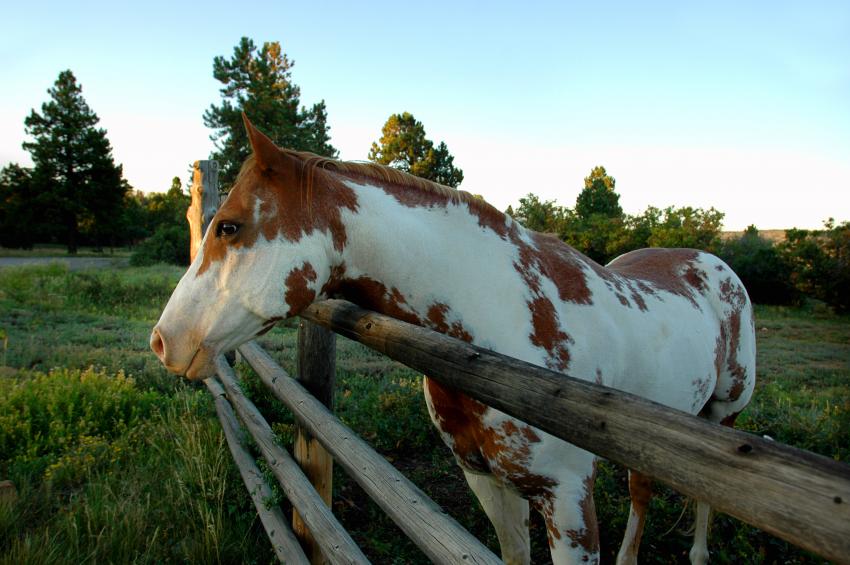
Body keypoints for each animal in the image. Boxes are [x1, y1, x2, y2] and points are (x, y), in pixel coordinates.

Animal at [151, 115, 756, 565]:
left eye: (229, 226)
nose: (163, 341)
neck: (494, 338)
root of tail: (714, 263)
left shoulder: (568, 500)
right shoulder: (487, 481)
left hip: (723, 416)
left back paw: (699, 555)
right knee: (642, 490)